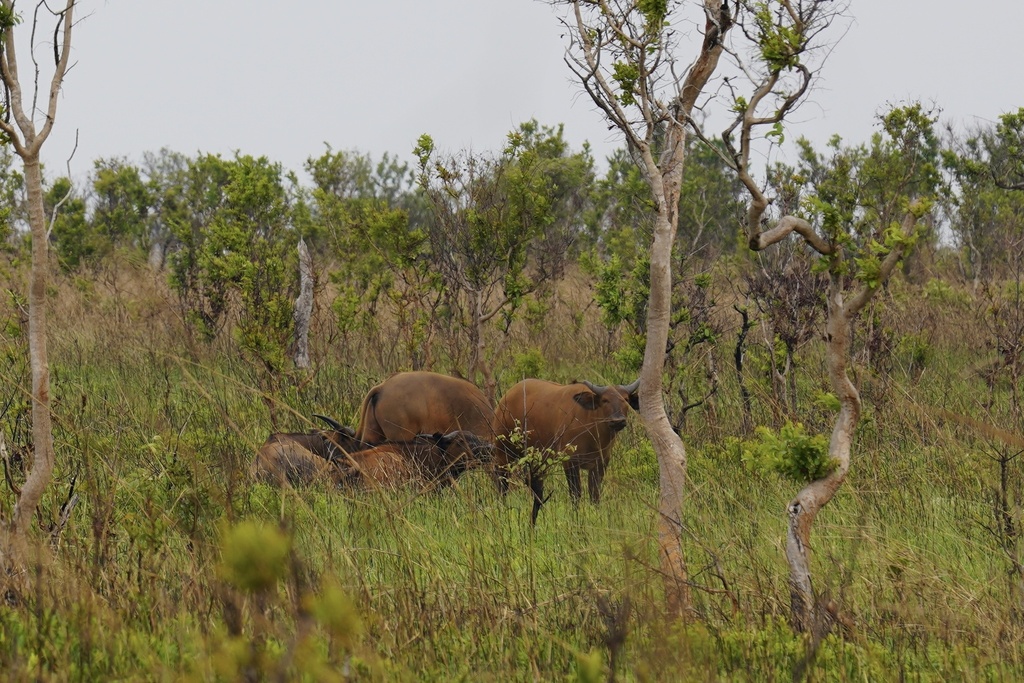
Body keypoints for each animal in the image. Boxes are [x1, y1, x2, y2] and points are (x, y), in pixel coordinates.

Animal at [493, 378, 640, 523]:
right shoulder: (570, 461)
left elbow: (595, 494)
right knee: (502, 484)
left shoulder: (600, 463)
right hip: (503, 453)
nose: (618, 420)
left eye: (626, 399)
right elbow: (575, 493)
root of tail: (504, 399)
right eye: (605, 400)